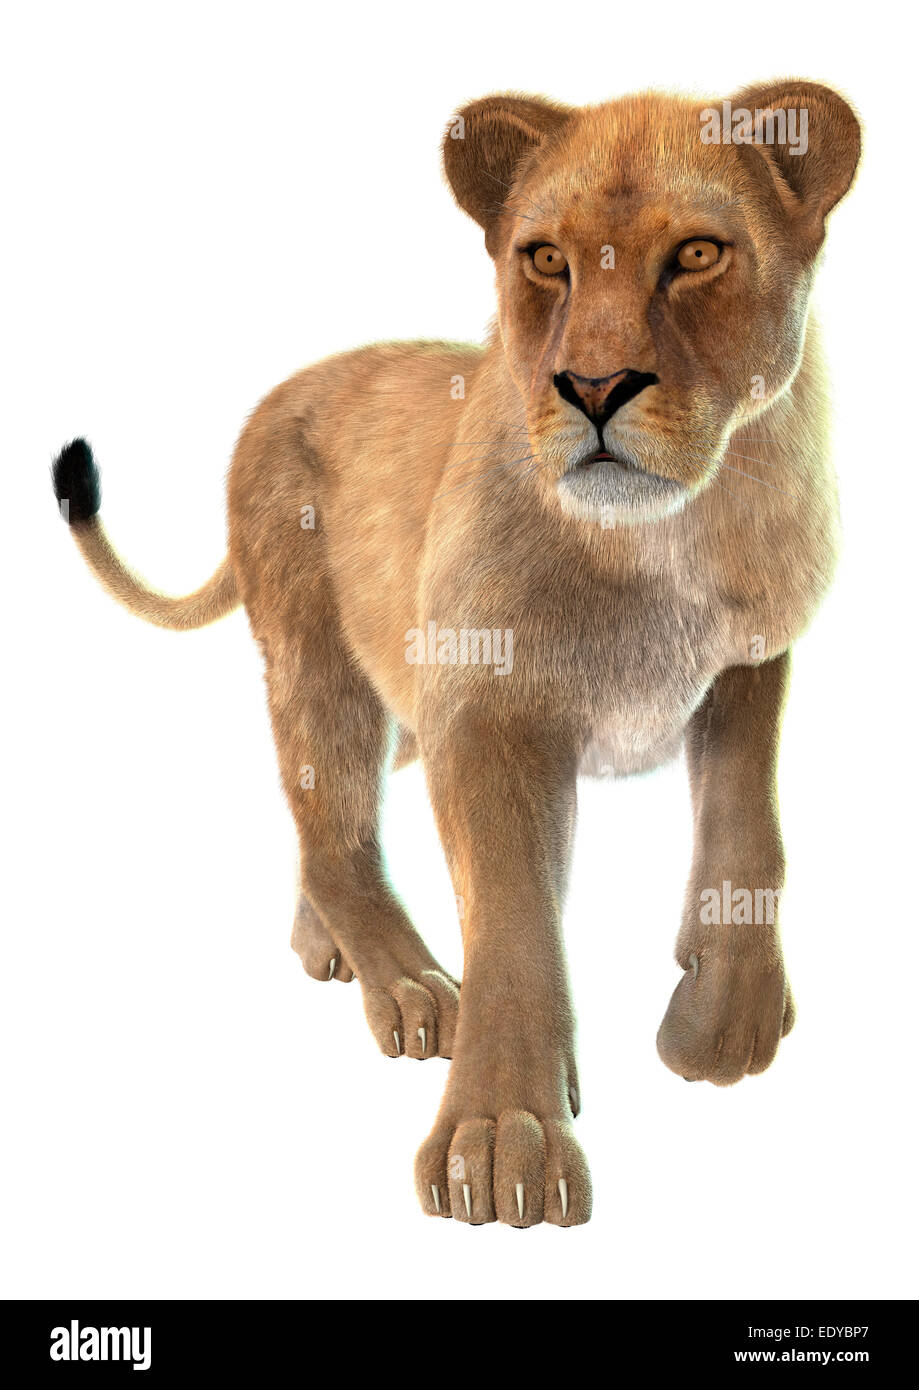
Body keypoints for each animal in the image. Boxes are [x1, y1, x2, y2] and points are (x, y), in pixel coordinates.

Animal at [52, 79, 860, 1227]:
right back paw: (406, 985)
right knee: (333, 831)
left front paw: (725, 1023)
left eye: (698, 254)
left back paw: (324, 945)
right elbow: (514, 923)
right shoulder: (487, 711)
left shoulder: (747, 659)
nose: (594, 386)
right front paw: (501, 1141)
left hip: (400, 696)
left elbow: (750, 833)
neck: (662, 544)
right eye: (546, 259)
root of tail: (276, 396)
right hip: (321, 661)